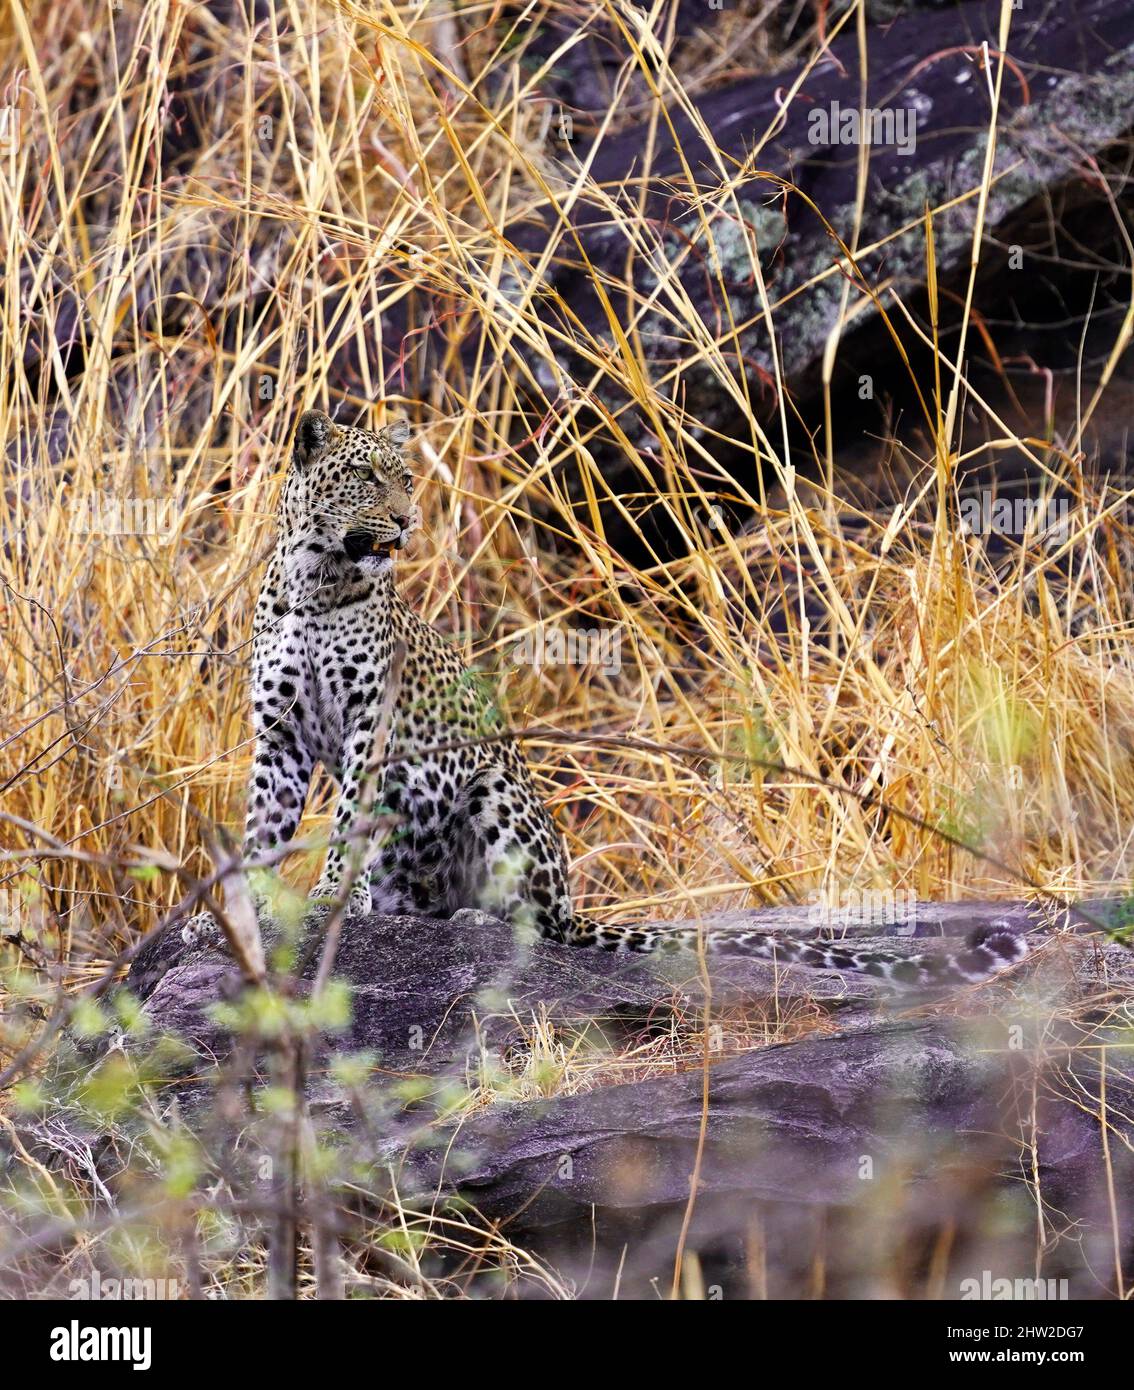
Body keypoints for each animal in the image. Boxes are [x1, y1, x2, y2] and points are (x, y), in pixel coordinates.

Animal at [181, 409, 1028, 989]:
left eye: (406, 476)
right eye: (364, 477)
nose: (405, 520)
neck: (316, 582)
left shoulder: (369, 724)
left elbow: (350, 816)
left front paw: (328, 896)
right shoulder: (279, 734)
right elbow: (261, 825)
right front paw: (233, 910)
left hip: (496, 790)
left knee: (537, 921)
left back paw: (474, 915)